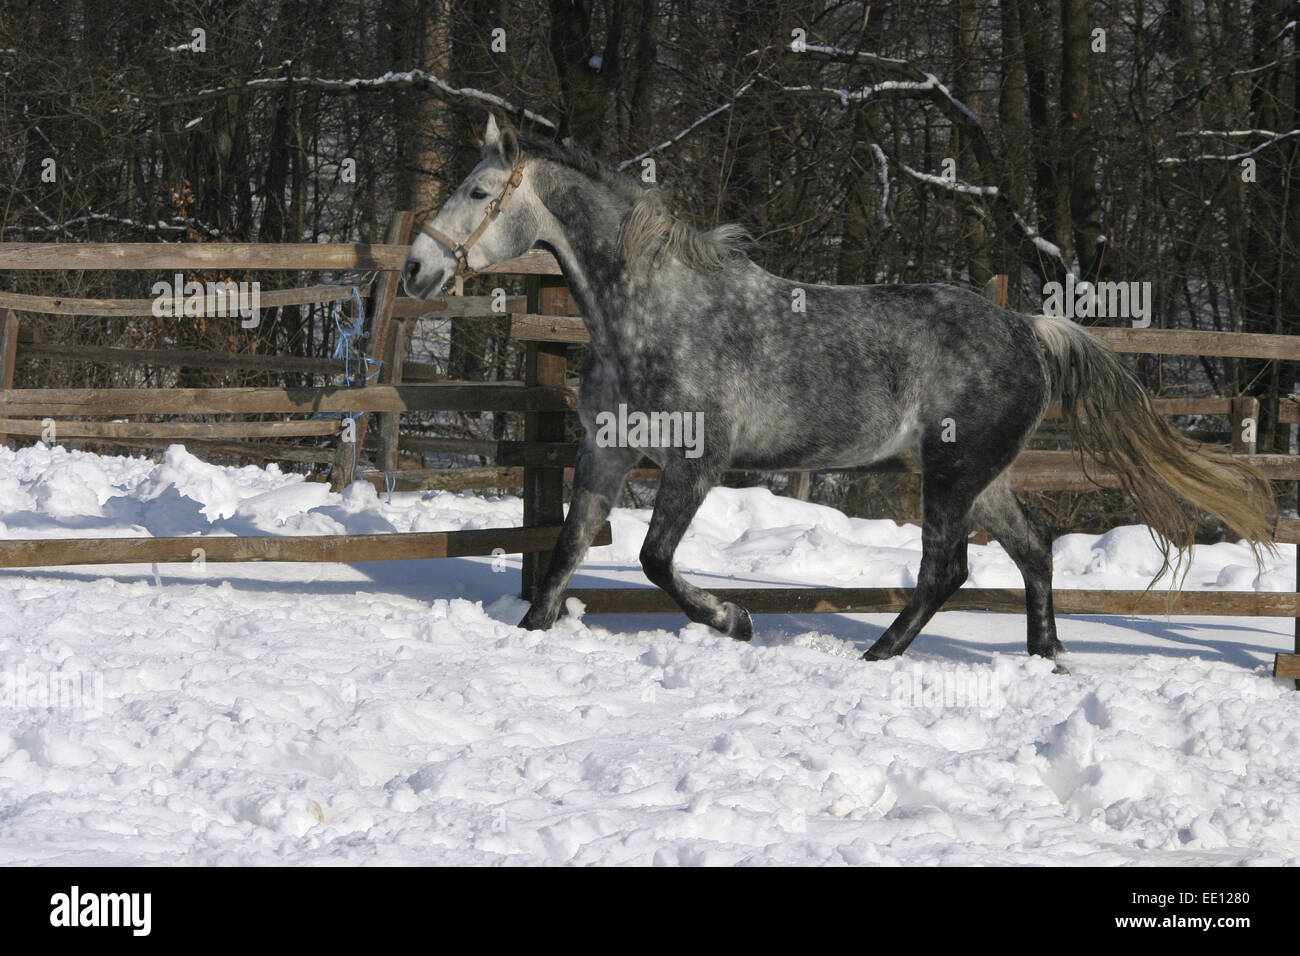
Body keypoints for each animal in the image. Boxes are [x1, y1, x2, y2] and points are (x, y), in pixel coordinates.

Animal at [402, 115, 1274, 663]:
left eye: (478, 194)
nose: (416, 268)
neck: (652, 313)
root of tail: (1029, 327)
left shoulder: (699, 460)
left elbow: (652, 558)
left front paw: (735, 620)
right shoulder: (605, 453)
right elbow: (568, 548)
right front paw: (530, 631)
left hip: (952, 474)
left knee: (945, 571)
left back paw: (879, 655)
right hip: (976, 475)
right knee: (1031, 552)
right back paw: (1046, 656)